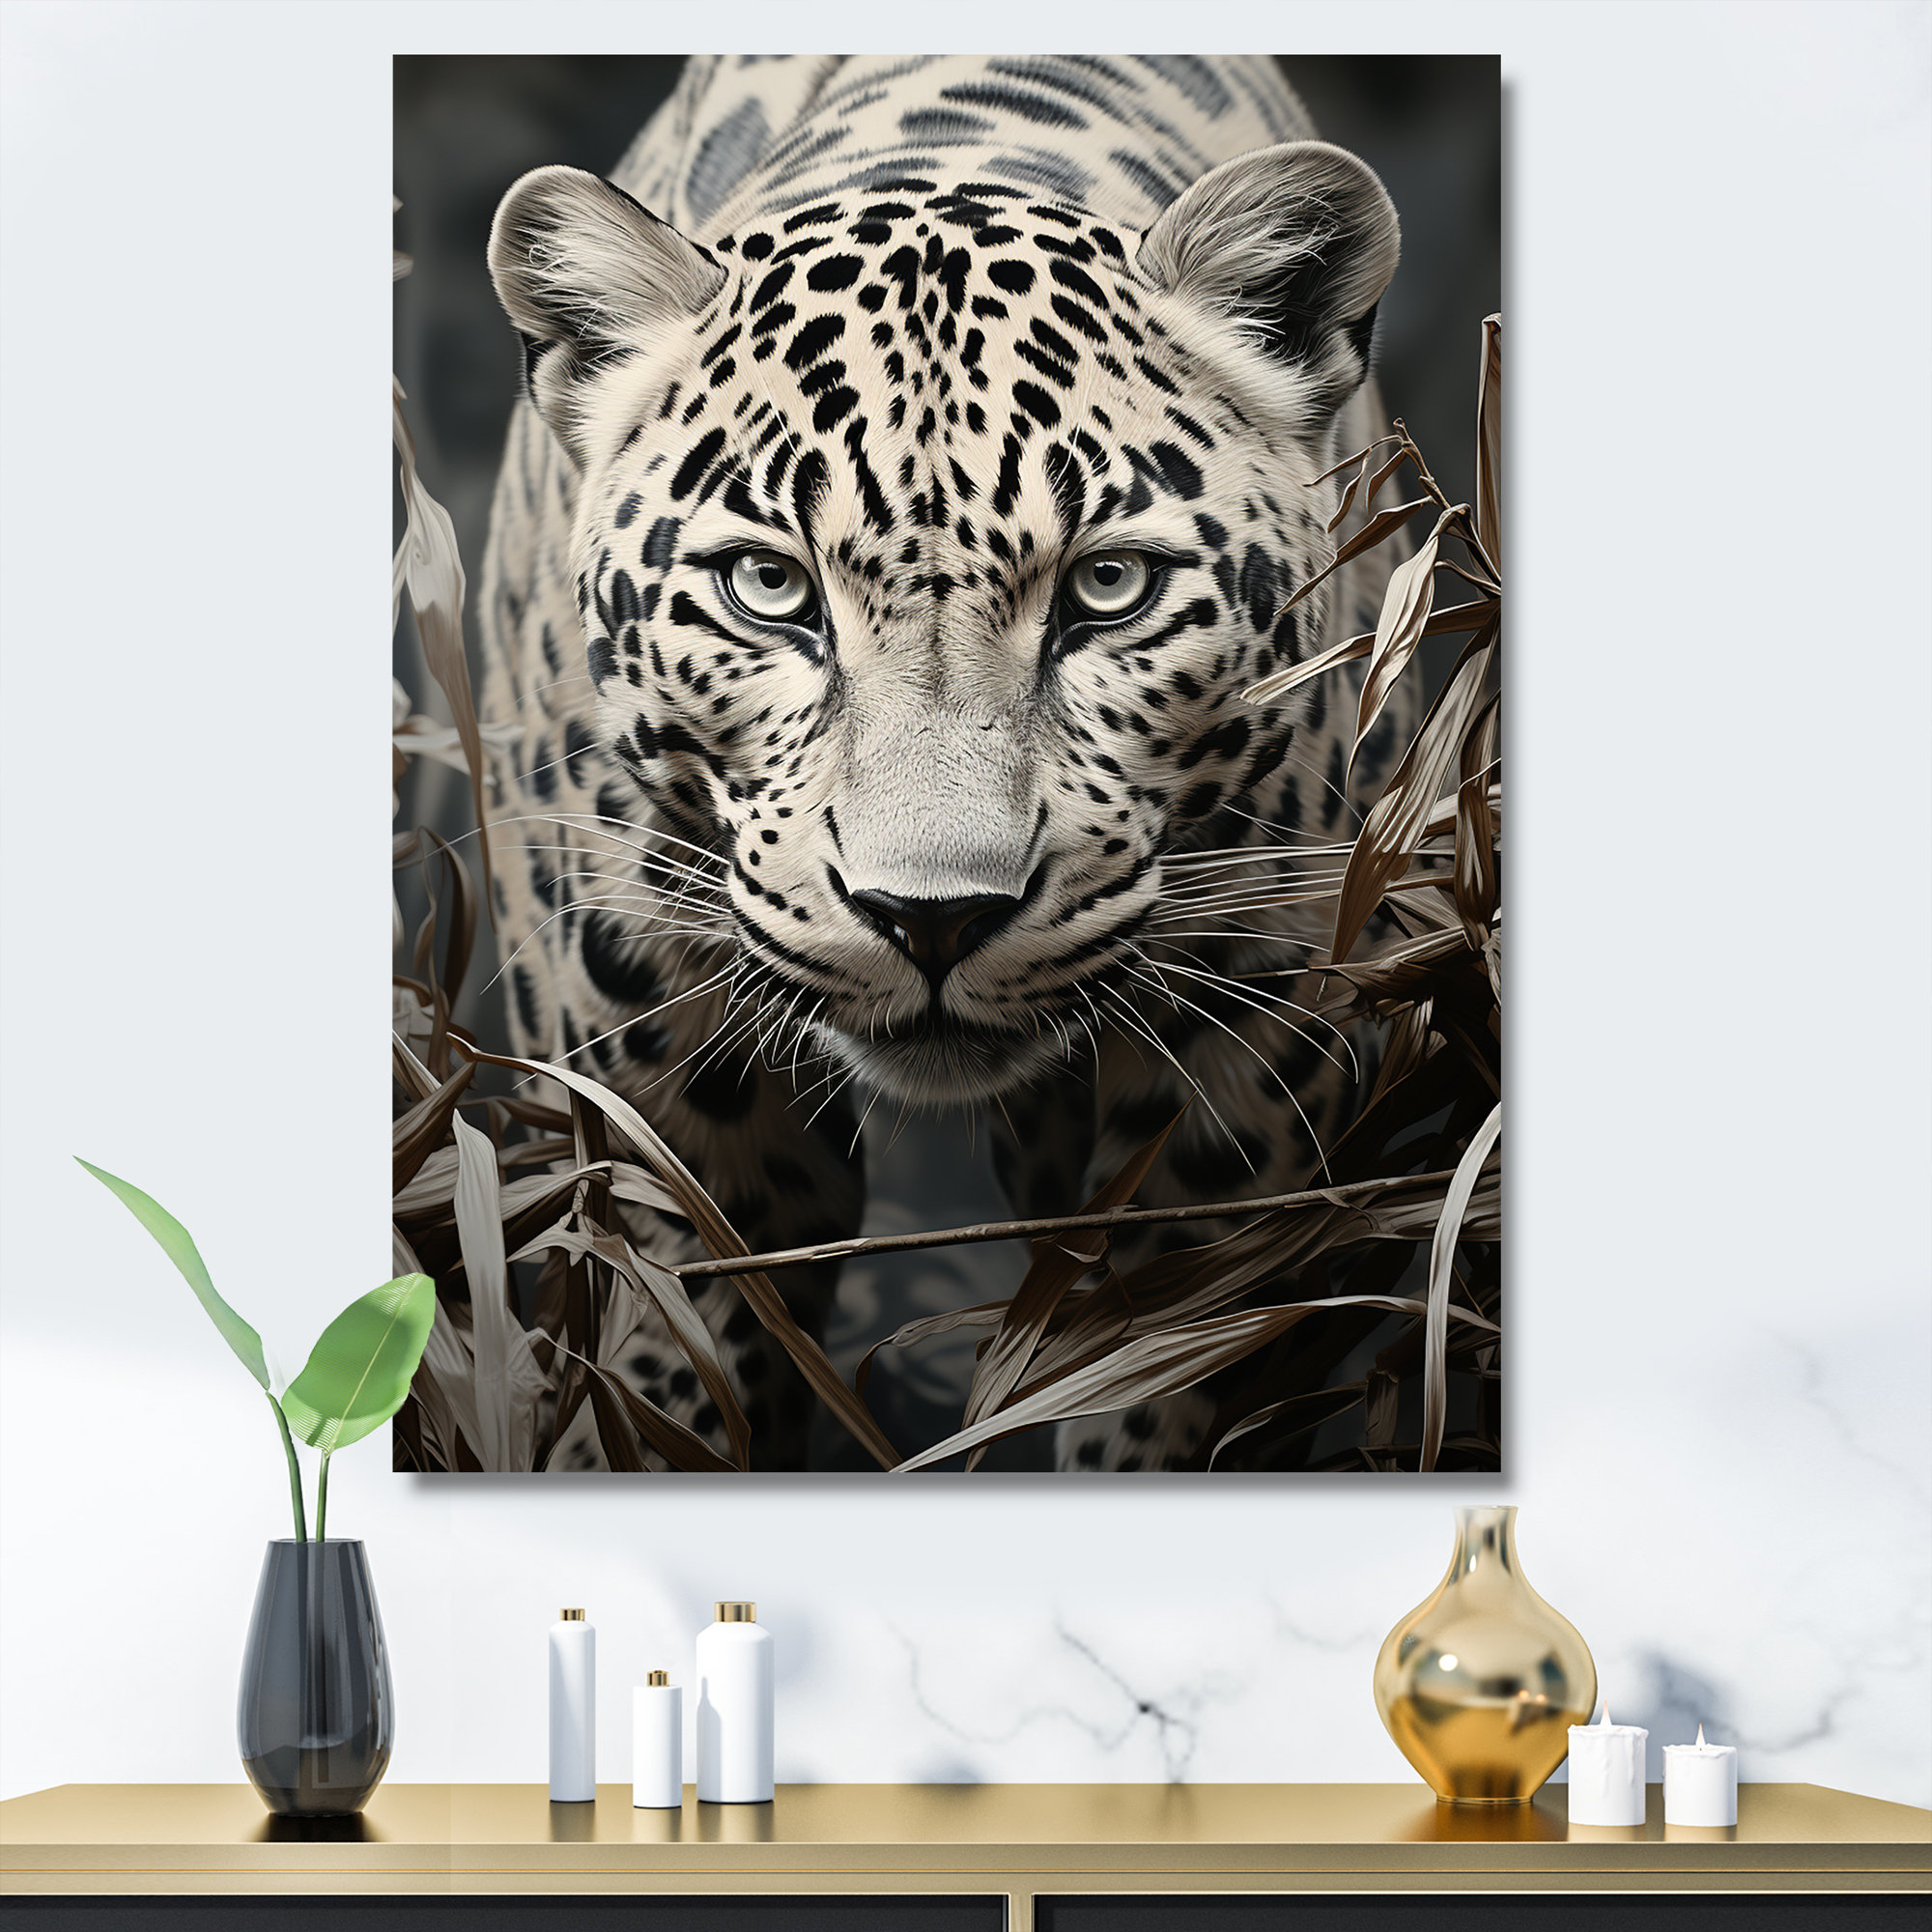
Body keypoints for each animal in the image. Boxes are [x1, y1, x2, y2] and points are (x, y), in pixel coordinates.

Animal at [475, 54, 1416, 1472]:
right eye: (767, 588)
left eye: (1109, 588)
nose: (932, 920)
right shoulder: (666, 1123)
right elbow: (672, 1386)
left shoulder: (1247, 1085)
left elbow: (1154, 1381)